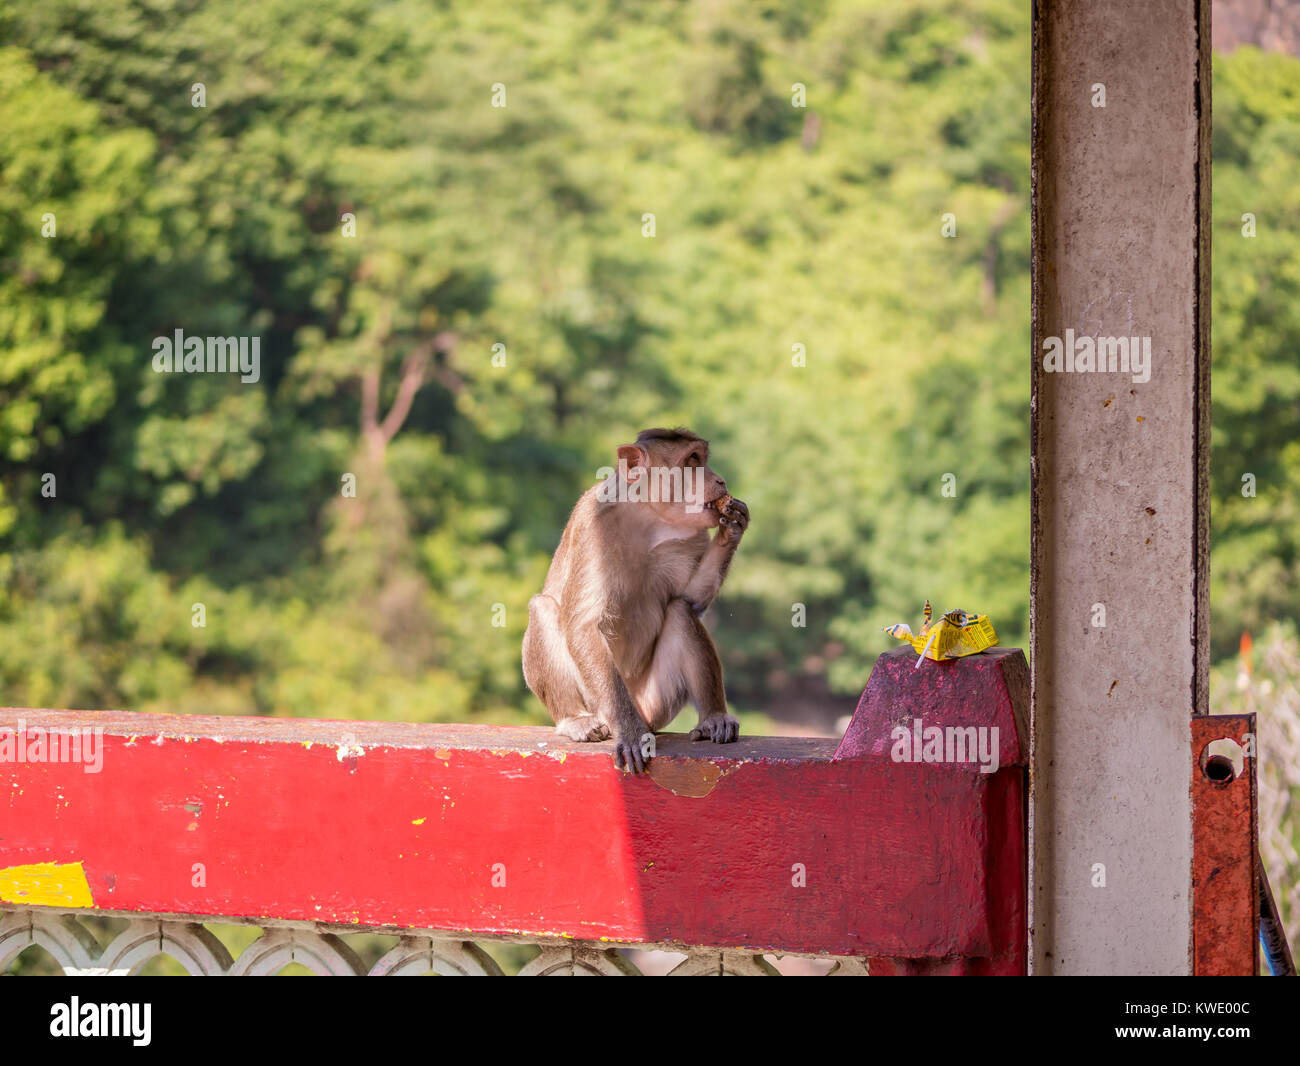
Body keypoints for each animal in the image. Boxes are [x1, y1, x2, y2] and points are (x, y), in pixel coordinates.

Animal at [522, 428, 749, 773]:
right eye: (692, 460)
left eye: (702, 459)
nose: (721, 481)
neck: (647, 517)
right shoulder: (593, 524)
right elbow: (583, 624)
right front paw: (630, 734)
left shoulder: (691, 535)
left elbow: (689, 598)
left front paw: (732, 527)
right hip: (600, 702)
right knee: (543, 608)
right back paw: (575, 719)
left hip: (655, 703)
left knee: (680, 611)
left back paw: (713, 718)